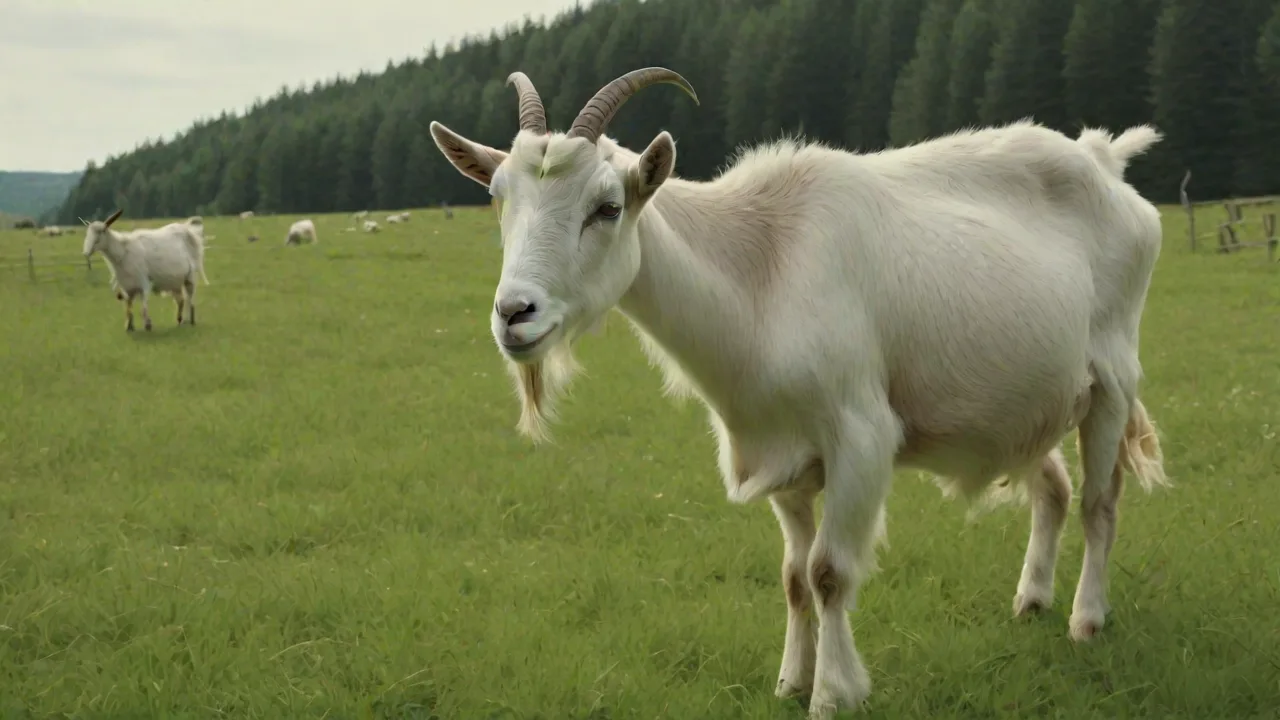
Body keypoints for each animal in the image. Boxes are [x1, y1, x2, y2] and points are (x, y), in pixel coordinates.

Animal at [429, 68, 1169, 718]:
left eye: (607, 208)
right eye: (500, 198)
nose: (515, 313)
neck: (760, 270)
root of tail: (1103, 160)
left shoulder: (860, 436)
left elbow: (829, 572)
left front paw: (833, 695)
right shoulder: (777, 448)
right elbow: (791, 577)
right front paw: (791, 680)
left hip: (1111, 376)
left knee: (1100, 501)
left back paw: (1086, 620)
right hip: (1025, 401)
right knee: (1054, 487)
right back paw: (1032, 600)